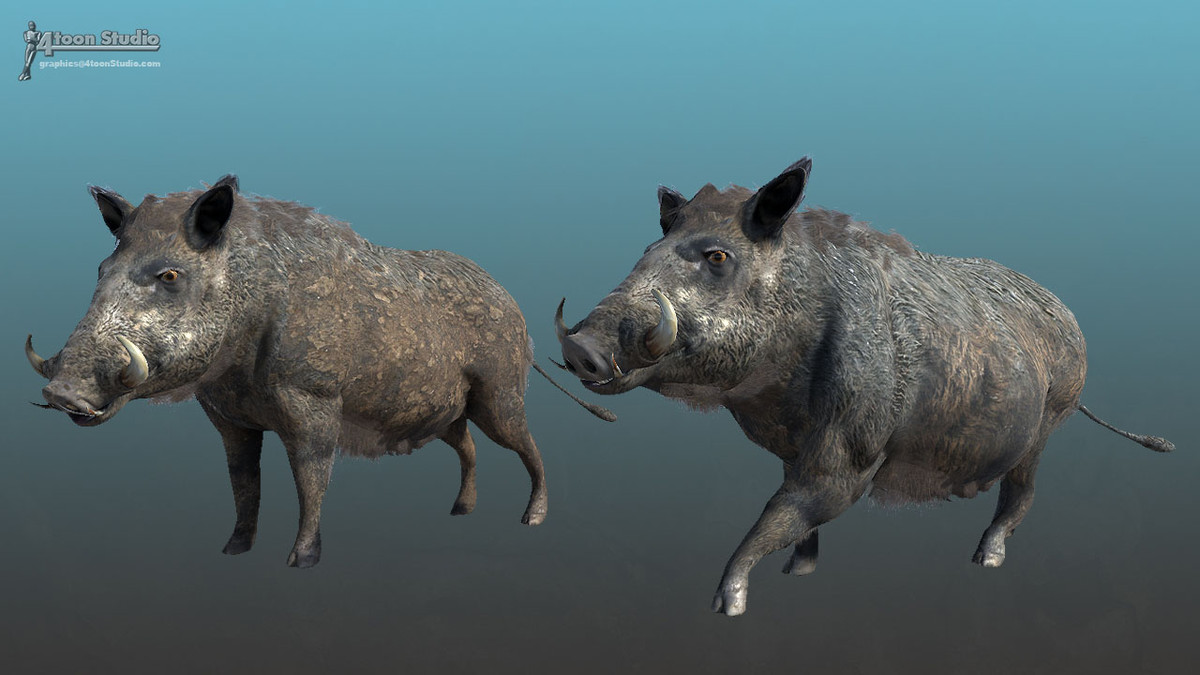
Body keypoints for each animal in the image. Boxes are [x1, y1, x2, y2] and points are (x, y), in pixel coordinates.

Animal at [27, 175, 613, 568]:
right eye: (102, 268)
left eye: (169, 274)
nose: (61, 394)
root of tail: (513, 305)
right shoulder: (228, 419)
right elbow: (243, 480)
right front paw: (233, 550)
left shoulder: (314, 402)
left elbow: (310, 477)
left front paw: (300, 561)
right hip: (447, 410)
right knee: (467, 447)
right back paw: (459, 513)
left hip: (500, 392)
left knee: (527, 444)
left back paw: (532, 519)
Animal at [556, 158, 1173, 616]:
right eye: (645, 252)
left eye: (717, 256)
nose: (580, 347)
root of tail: (1070, 318)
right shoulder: (792, 443)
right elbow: (794, 510)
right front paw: (799, 571)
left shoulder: (855, 445)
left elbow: (796, 503)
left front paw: (726, 605)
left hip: (1049, 419)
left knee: (1022, 491)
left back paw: (987, 561)